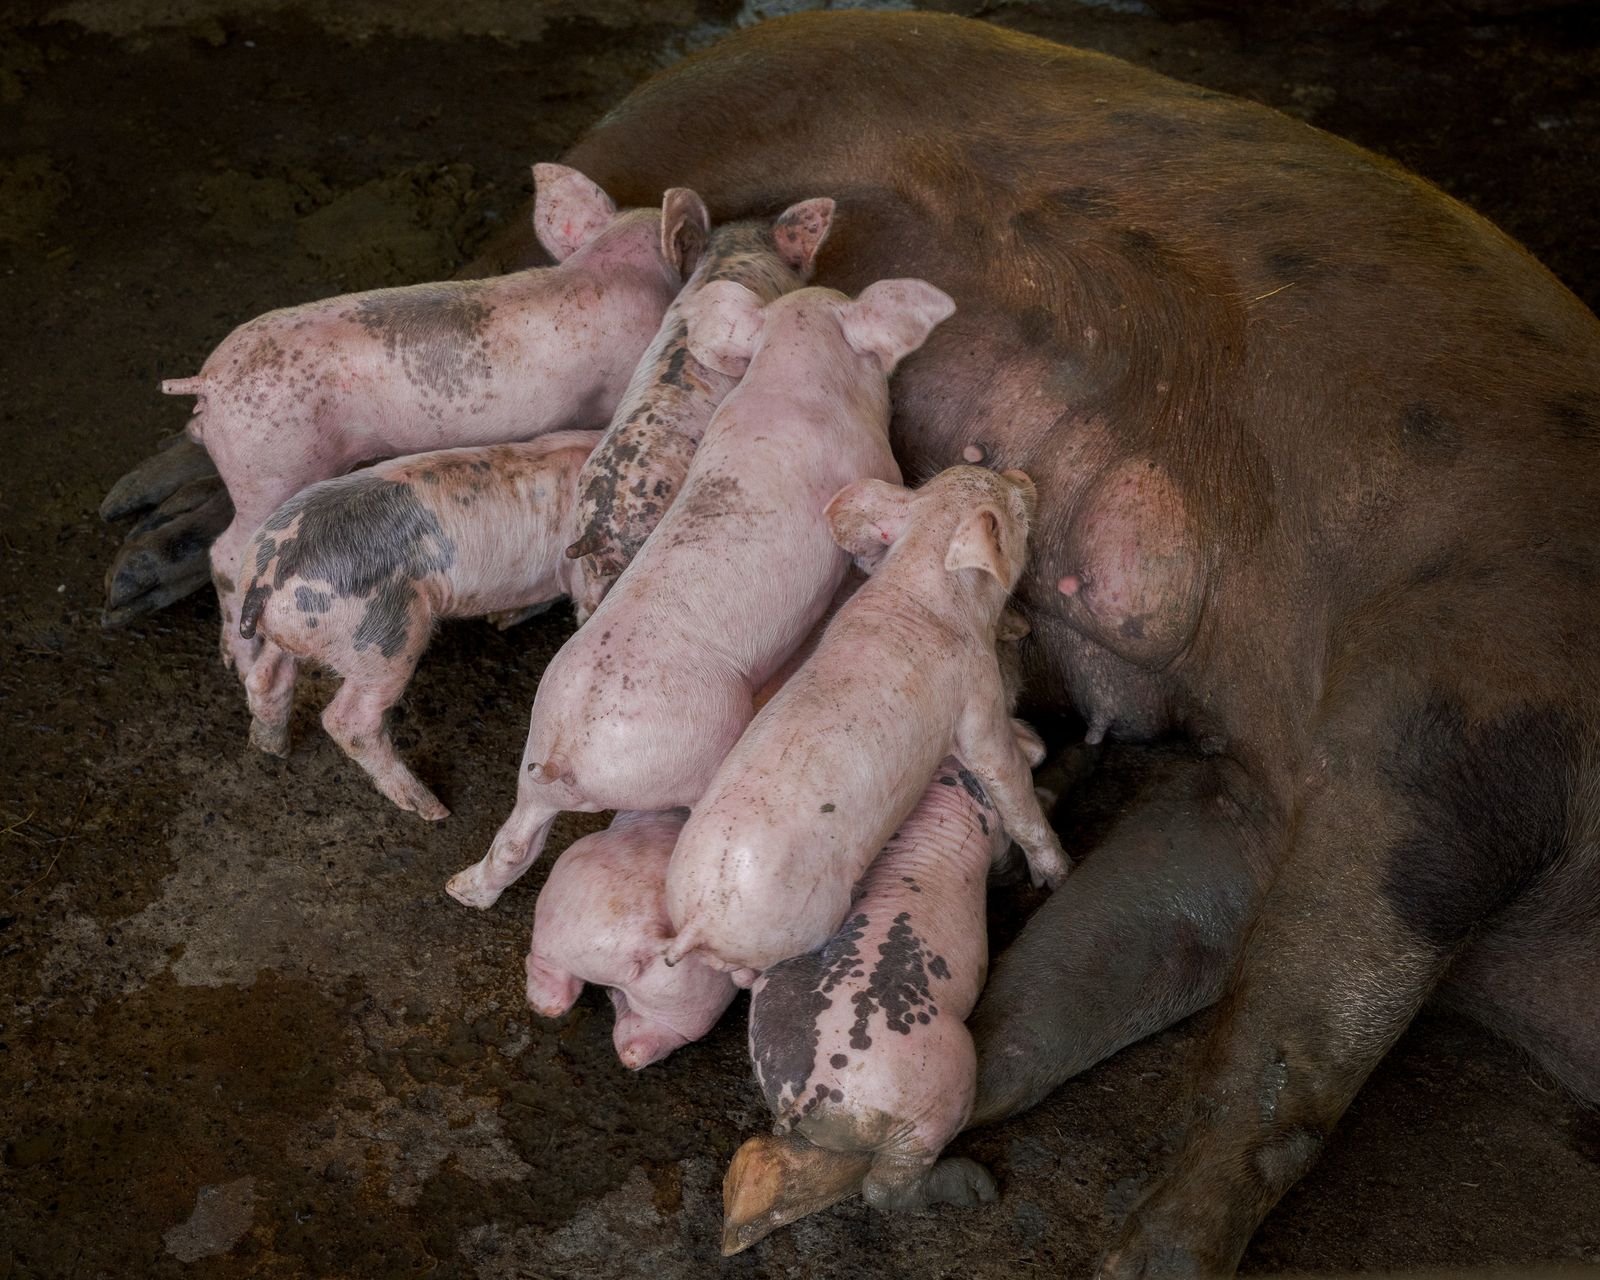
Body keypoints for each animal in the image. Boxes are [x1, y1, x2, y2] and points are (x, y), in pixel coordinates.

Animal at [236, 431, 599, 820]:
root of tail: (261, 583)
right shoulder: (585, 573)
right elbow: (585, 603)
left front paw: (500, 619)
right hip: (385, 638)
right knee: (349, 722)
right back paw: (433, 808)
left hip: (296, 631)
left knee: (264, 678)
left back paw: (272, 747)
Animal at [443, 277, 955, 910]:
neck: (789, 388)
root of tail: (567, 750)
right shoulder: (871, 467)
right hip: (707, 740)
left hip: (532, 760)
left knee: (515, 840)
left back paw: (461, 890)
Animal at [663, 466, 1067, 975]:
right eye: (1008, 512)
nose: (1020, 473)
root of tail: (696, 921)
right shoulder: (976, 694)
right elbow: (1005, 777)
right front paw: (1059, 874)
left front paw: (1034, 742)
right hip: (802, 919)